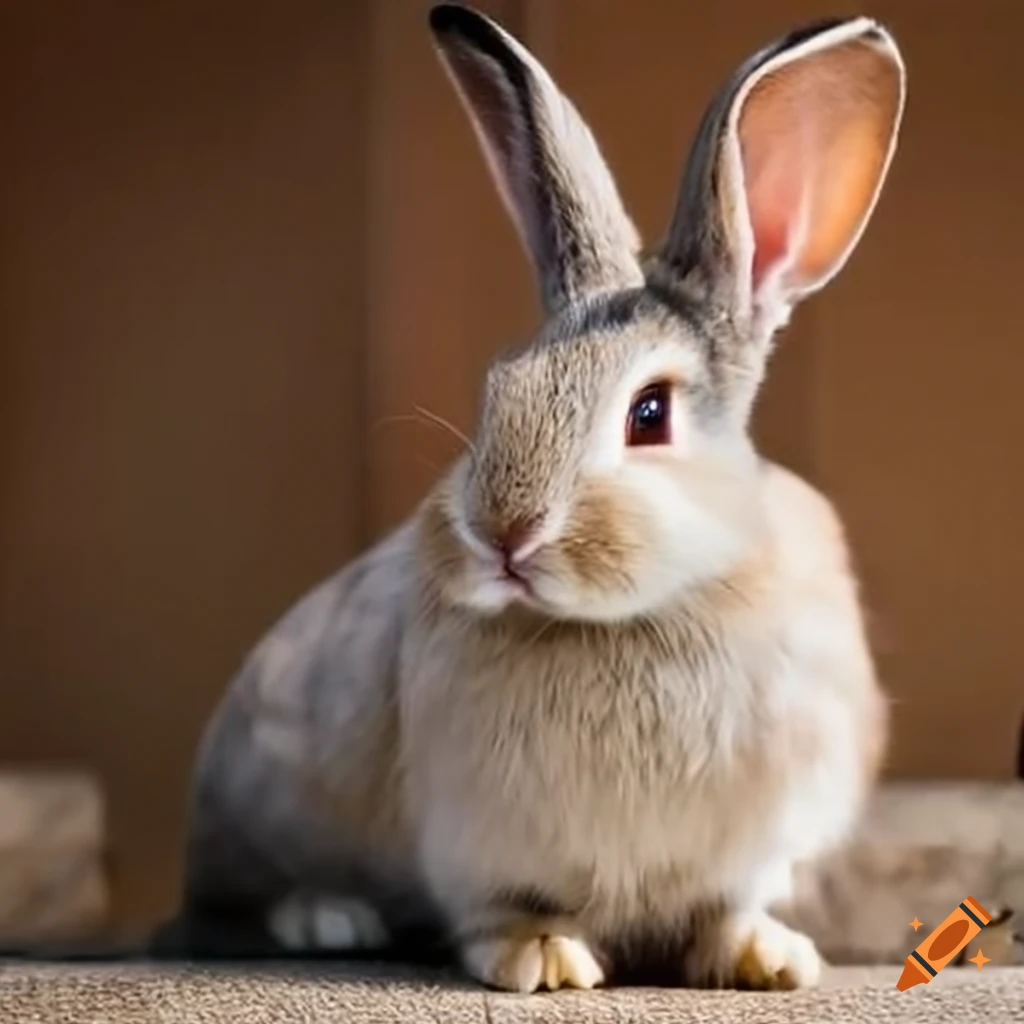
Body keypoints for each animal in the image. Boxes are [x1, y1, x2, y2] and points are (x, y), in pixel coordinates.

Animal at [176, 3, 905, 993]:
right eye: (499, 388)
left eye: (649, 413)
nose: (504, 534)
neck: (638, 616)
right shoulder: (476, 845)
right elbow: (507, 909)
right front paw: (545, 961)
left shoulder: (755, 842)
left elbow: (727, 909)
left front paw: (769, 959)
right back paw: (327, 920)